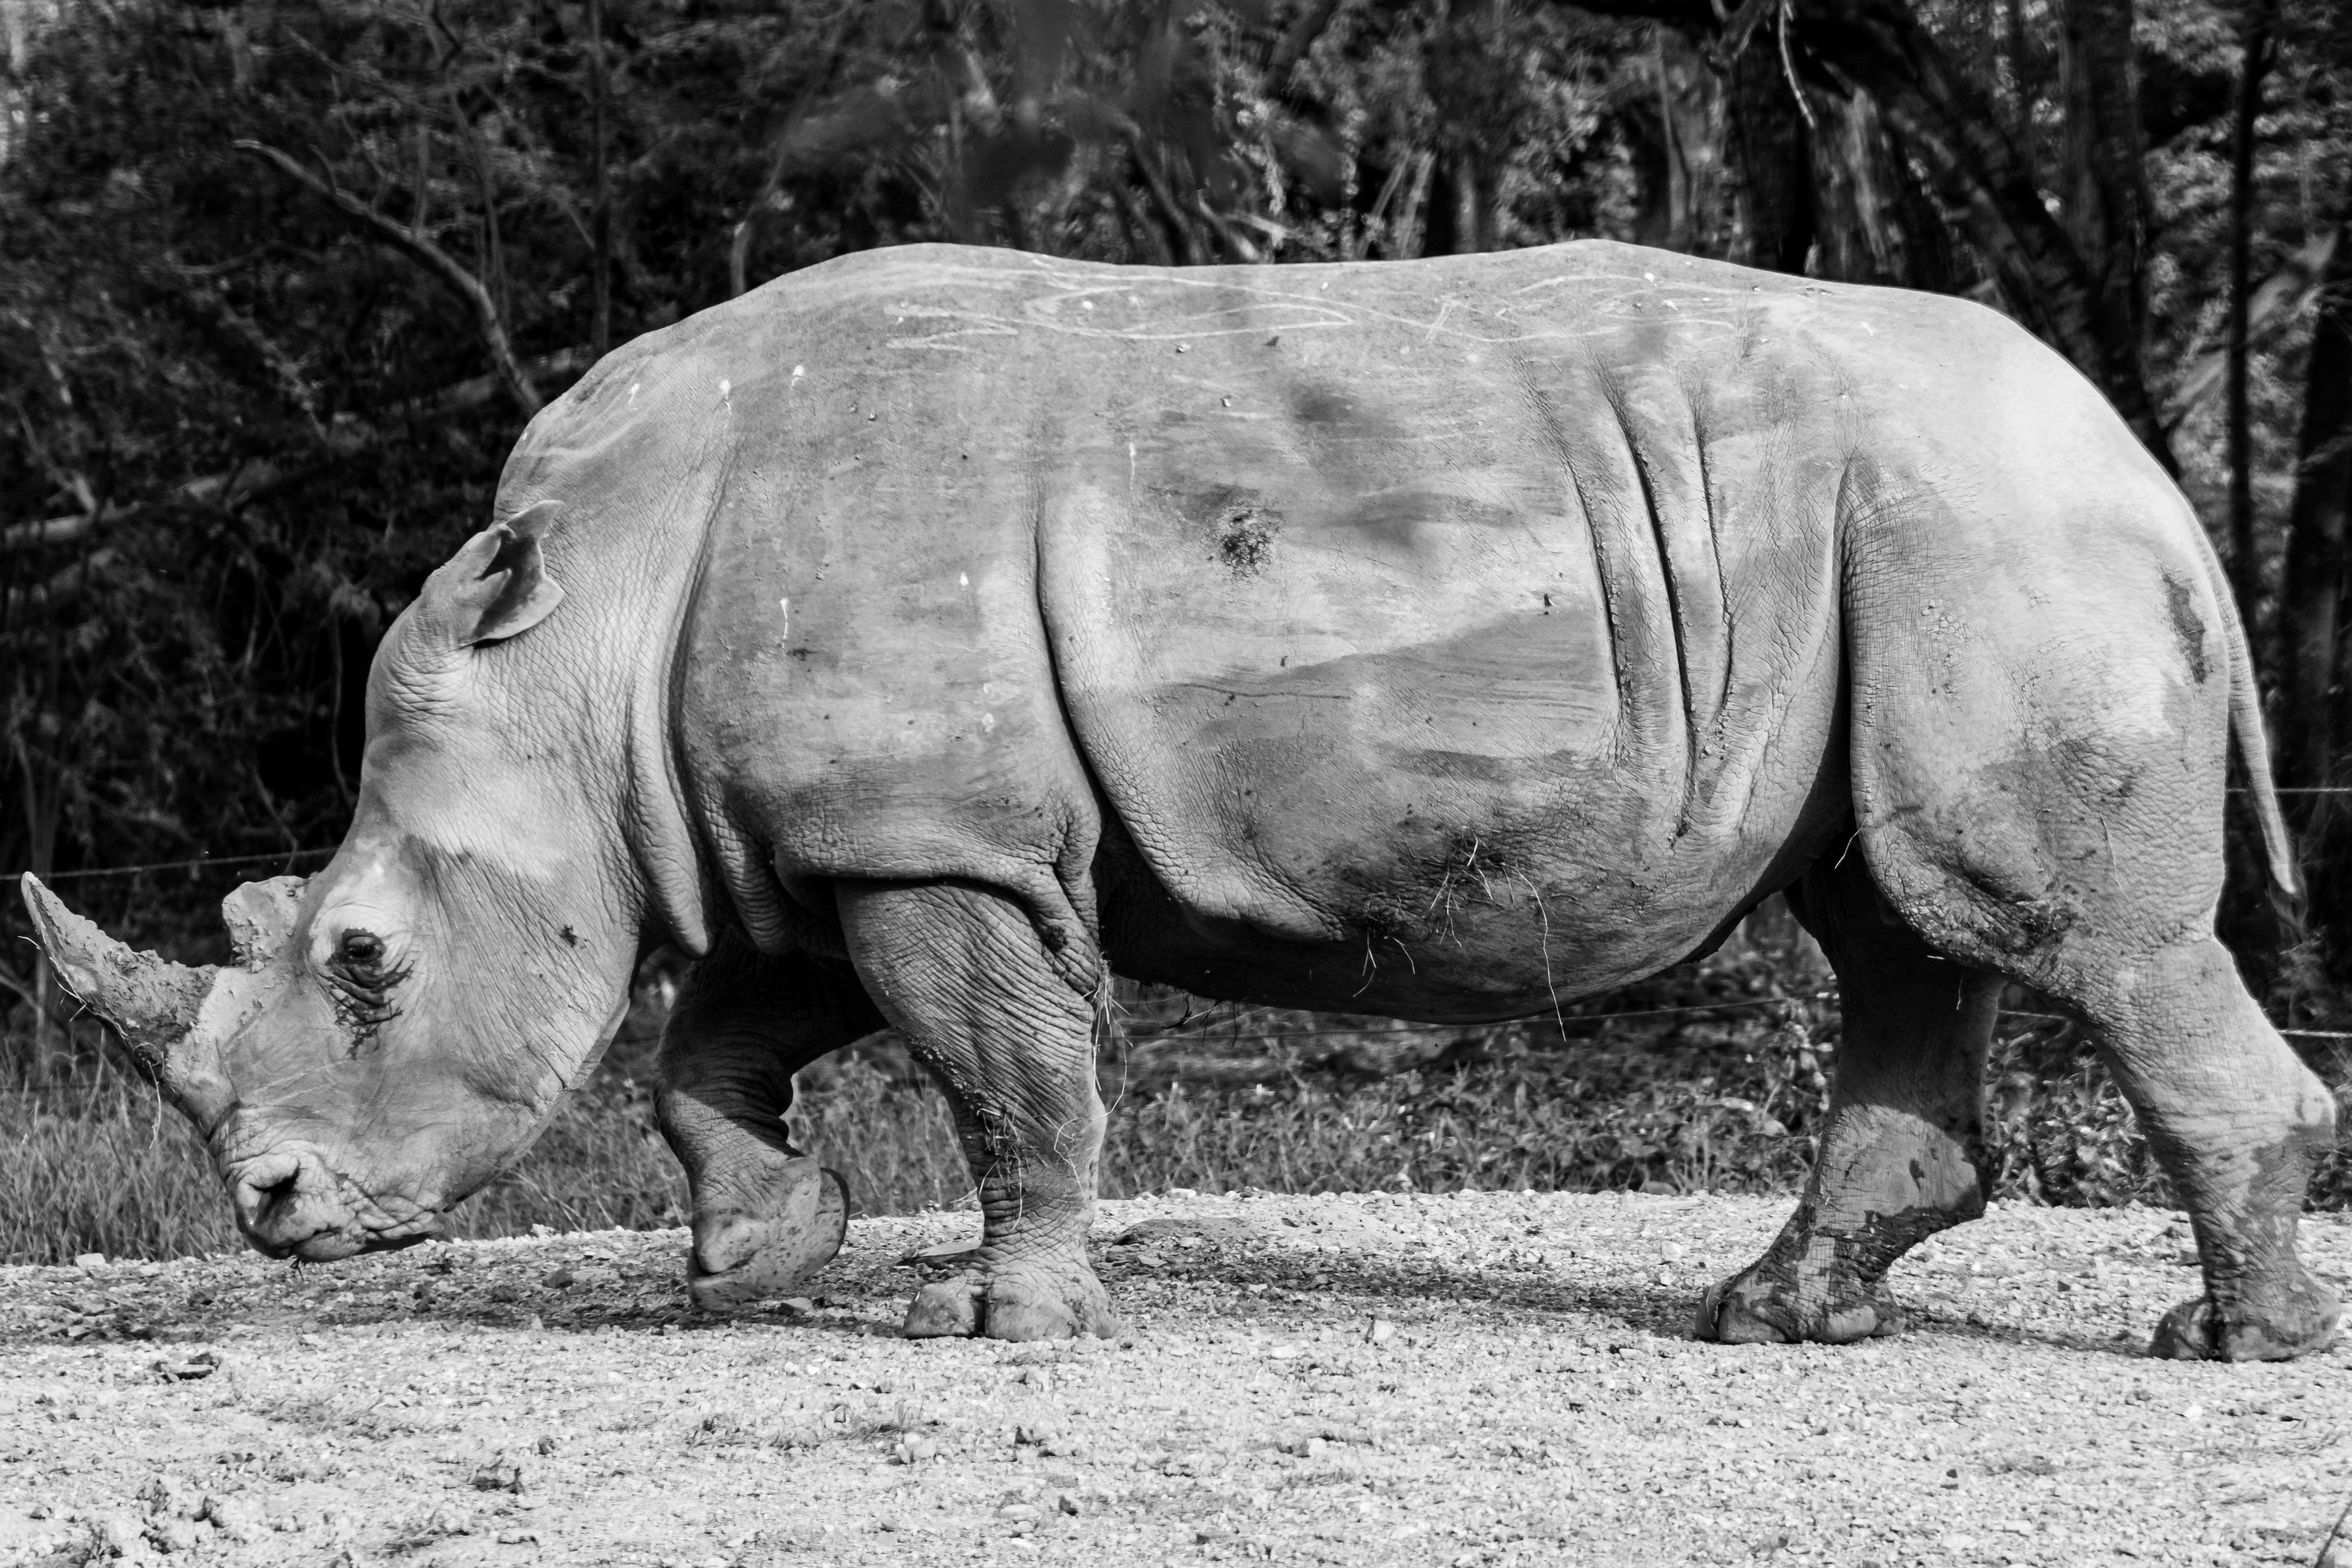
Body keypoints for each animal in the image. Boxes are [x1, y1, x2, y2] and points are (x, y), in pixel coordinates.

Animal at [23, 240, 2341, 1359]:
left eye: (364, 958)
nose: (273, 1215)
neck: (580, 631)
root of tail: (2145, 466)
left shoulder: (928, 837)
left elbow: (998, 1070)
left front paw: (1001, 1322)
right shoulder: (816, 829)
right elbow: (716, 1043)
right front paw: (755, 1263)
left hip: (1983, 535)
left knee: (2047, 927)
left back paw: (2218, 1347)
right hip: (1911, 541)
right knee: (1892, 924)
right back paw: (1776, 1317)